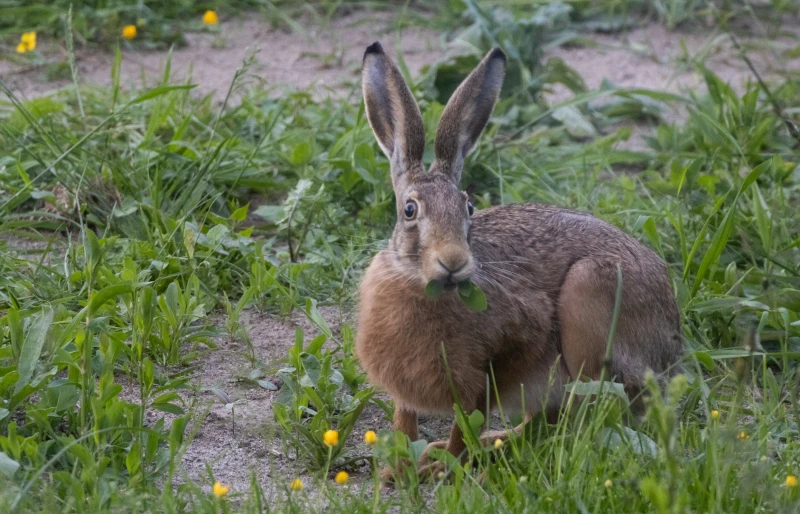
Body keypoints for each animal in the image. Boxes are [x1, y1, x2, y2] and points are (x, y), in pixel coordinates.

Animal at [355, 41, 683, 477]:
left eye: (469, 209)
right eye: (410, 210)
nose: (453, 261)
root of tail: (672, 346)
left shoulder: (505, 354)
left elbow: (469, 419)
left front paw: (446, 467)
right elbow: (403, 421)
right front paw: (399, 469)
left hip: (589, 296)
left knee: (588, 418)